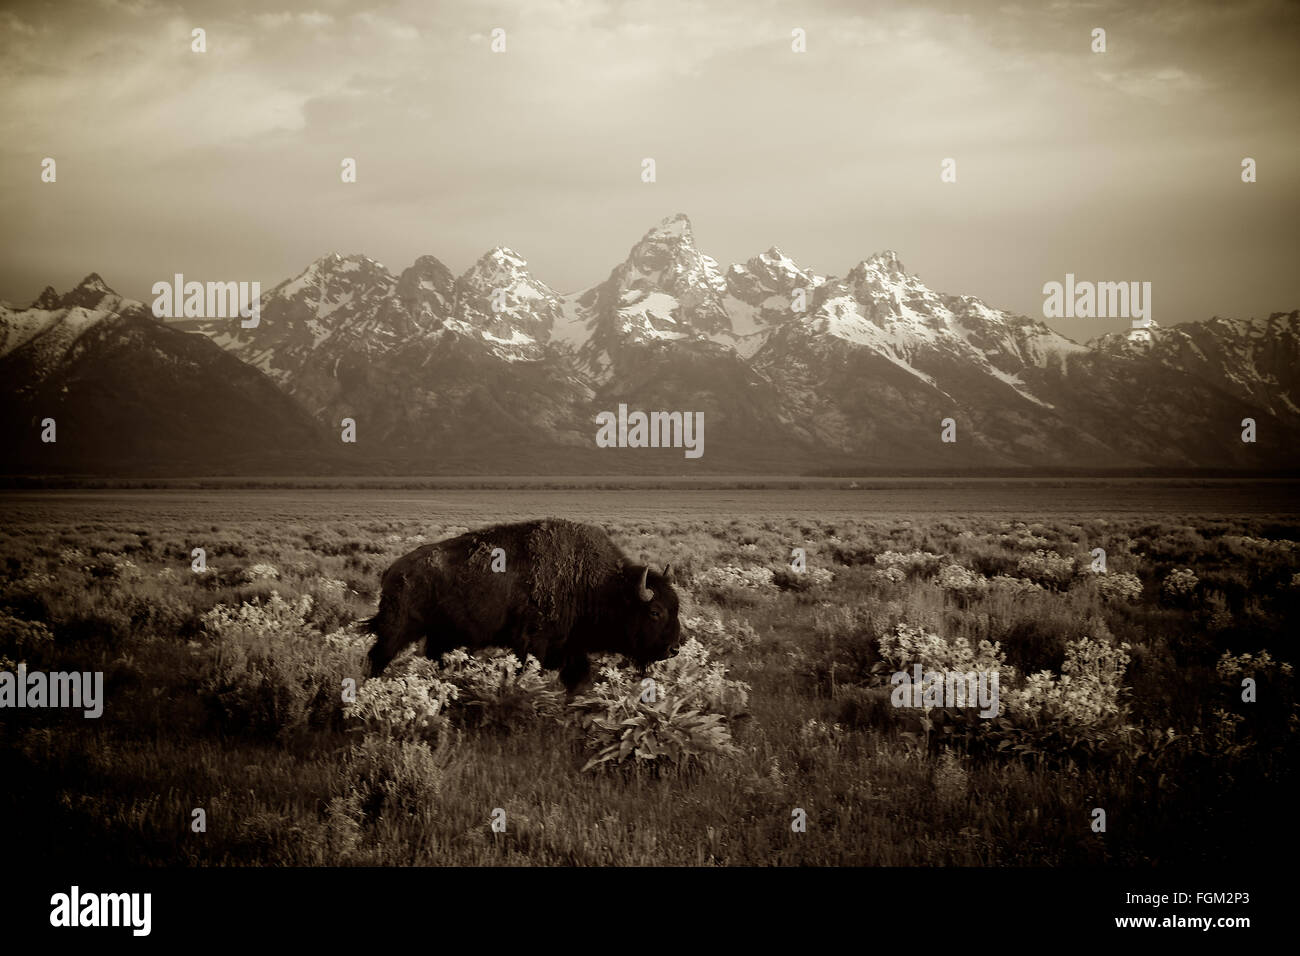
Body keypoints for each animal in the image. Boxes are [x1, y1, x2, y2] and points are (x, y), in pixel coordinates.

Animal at [362, 519, 682, 692]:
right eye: (655, 612)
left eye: (677, 608)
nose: (674, 649)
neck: (594, 583)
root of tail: (393, 570)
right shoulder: (533, 642)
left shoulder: (571, 646)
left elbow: (576, 678)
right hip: (398, 628)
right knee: (379, 656)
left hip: (441, 634)